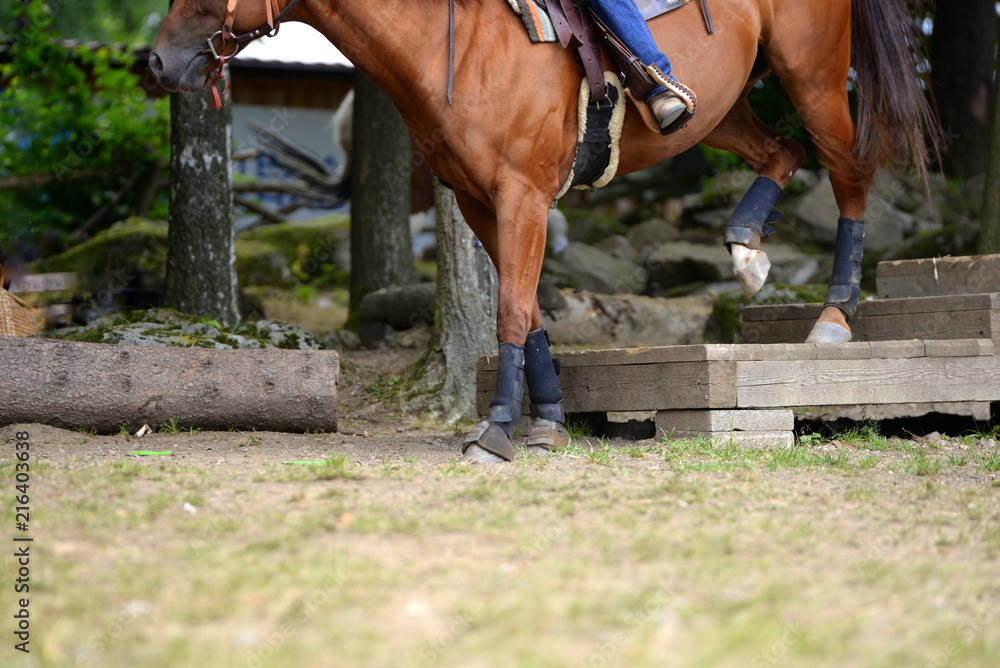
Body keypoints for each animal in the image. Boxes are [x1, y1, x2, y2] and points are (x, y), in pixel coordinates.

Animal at [149, 0, 941, 462]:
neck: (459, 44)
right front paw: (547, 417)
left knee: (850, 175)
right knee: (783, 152)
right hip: (724, 109)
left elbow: (510, 308)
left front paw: (498, 428)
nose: (157, 61)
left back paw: (834, 318)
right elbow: (526, 307)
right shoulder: (480, 200)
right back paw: (746, 249)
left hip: (813, 73)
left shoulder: (522, 192)